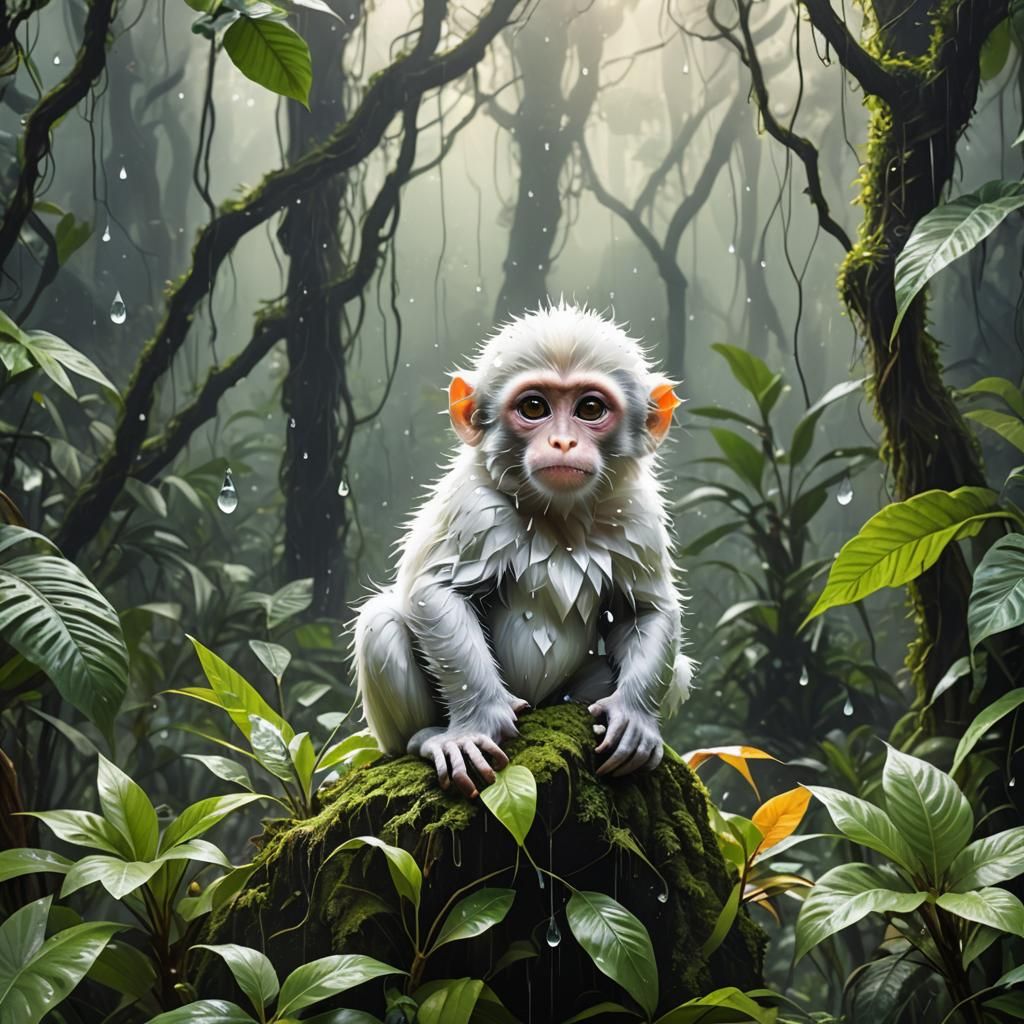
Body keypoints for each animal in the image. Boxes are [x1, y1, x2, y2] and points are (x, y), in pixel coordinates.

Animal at [353, 301, 693, 799]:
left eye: (590, 408)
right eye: (535, 406)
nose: (563, 442)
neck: (558, 515)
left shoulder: (637, 514)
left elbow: (646, 611)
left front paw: (632, 717)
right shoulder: (474, 505)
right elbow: (434, 593)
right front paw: (478, 722)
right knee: (382, 622)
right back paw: (427, 738)